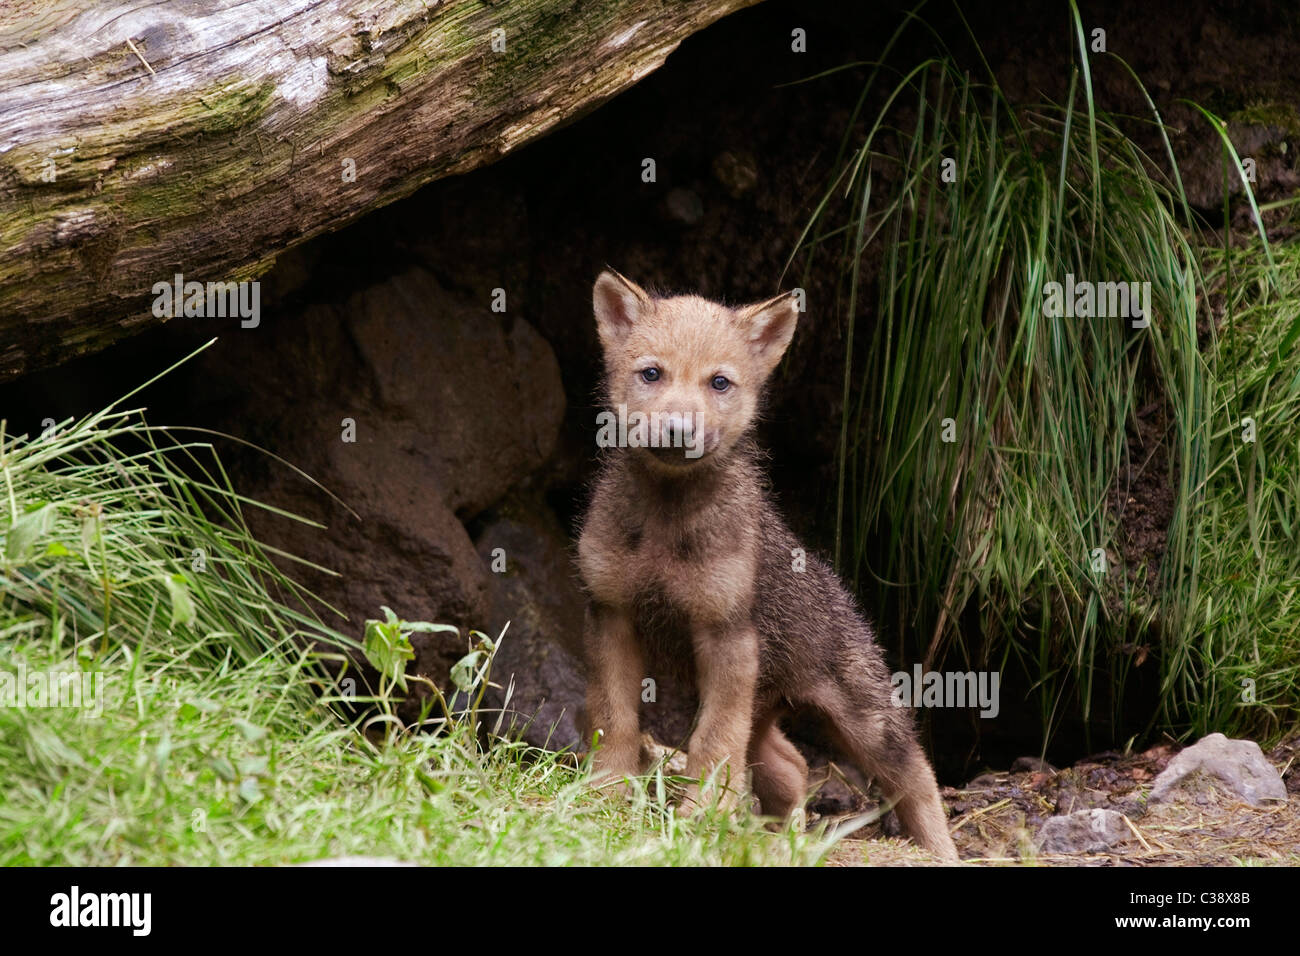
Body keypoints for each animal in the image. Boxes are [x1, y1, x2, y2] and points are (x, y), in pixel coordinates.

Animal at [576, 269, 959, 862]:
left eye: (719, 383)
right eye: (651, 373)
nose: (678, 429)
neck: (667, 522)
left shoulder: (726, 635)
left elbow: (711, 746)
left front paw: (698, 818)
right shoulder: (610, 616)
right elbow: (615, 722)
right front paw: (604, 797)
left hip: (865, 721)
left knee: (917, 778)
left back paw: (943, 852)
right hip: (762, 712)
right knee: (790, 764)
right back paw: (781, 834)